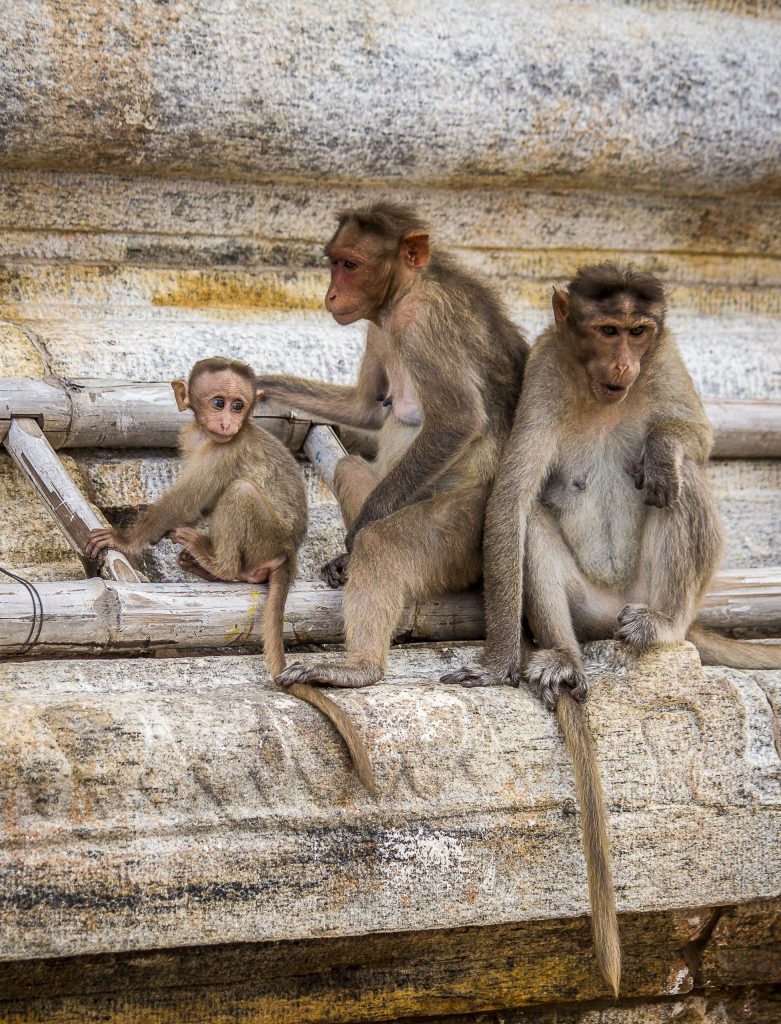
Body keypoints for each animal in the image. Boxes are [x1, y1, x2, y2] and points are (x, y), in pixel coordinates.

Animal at [85, 356, 376, 793]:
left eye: (239, 406)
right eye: (218, 402)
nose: (227, 422)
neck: (209, 438)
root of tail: (289, 554)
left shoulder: (227, 450)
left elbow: (188, 499)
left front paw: (125, 537)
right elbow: (200, 500)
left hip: (266, 538)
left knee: (240, 491)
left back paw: (218, 565)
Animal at [252, 202, 529, 691]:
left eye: (350, 265)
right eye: (334, 261)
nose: (330, 295)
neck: (404, 293)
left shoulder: (422, 321)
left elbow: (458, 420)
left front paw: (356, 537)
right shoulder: (379, 329)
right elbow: (363, 408)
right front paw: (257, 383)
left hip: (466, 529)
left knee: (385, 541)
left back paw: (359, 666)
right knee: (349, 469)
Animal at [443, 262, 781, 996]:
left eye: (638, 330)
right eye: (604, 330)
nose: (624, 361)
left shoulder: (669, 359)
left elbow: (697, 437)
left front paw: (662, 447)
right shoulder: (544, 367)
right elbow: (510, 499)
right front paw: (497, 661)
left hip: (654, 592)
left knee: (687, 483)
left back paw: (659, 625)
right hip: (590, 605)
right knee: (535, 524)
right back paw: (561, 657)